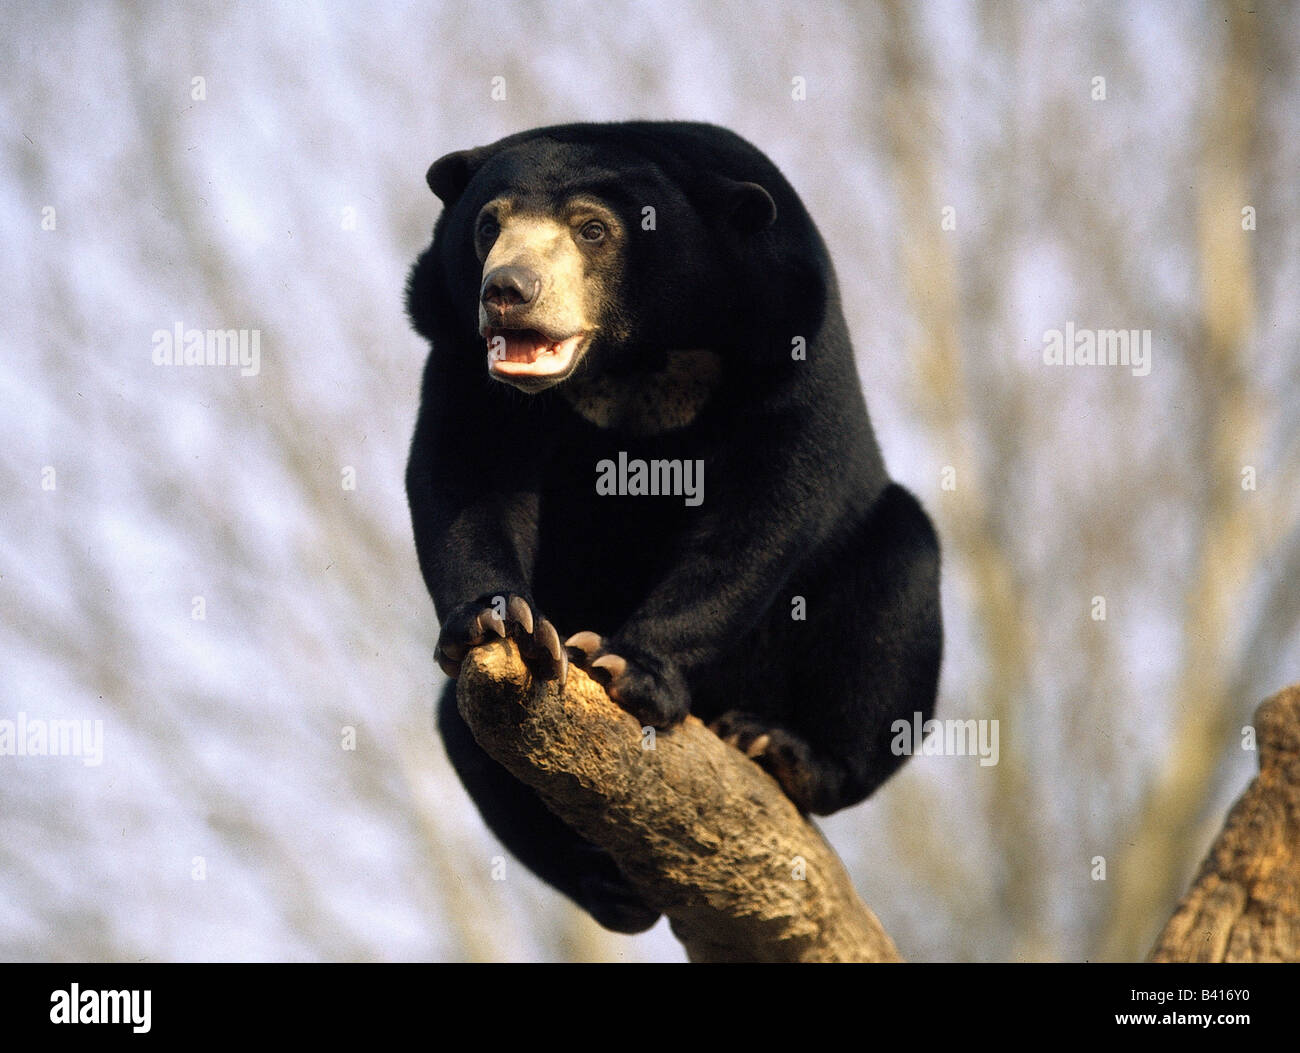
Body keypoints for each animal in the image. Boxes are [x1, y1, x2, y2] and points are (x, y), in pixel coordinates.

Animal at [405, 121, 942, 934]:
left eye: (594, 230)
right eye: (488, 225)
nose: (507, 292)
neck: (634, 356)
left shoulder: (786, 327)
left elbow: (767, 503)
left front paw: (625, 666)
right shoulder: (461, 350)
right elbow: (465, 472)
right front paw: (504, 621)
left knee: (901, 578)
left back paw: (785, 750)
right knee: (465, 737)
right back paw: (610, 887)